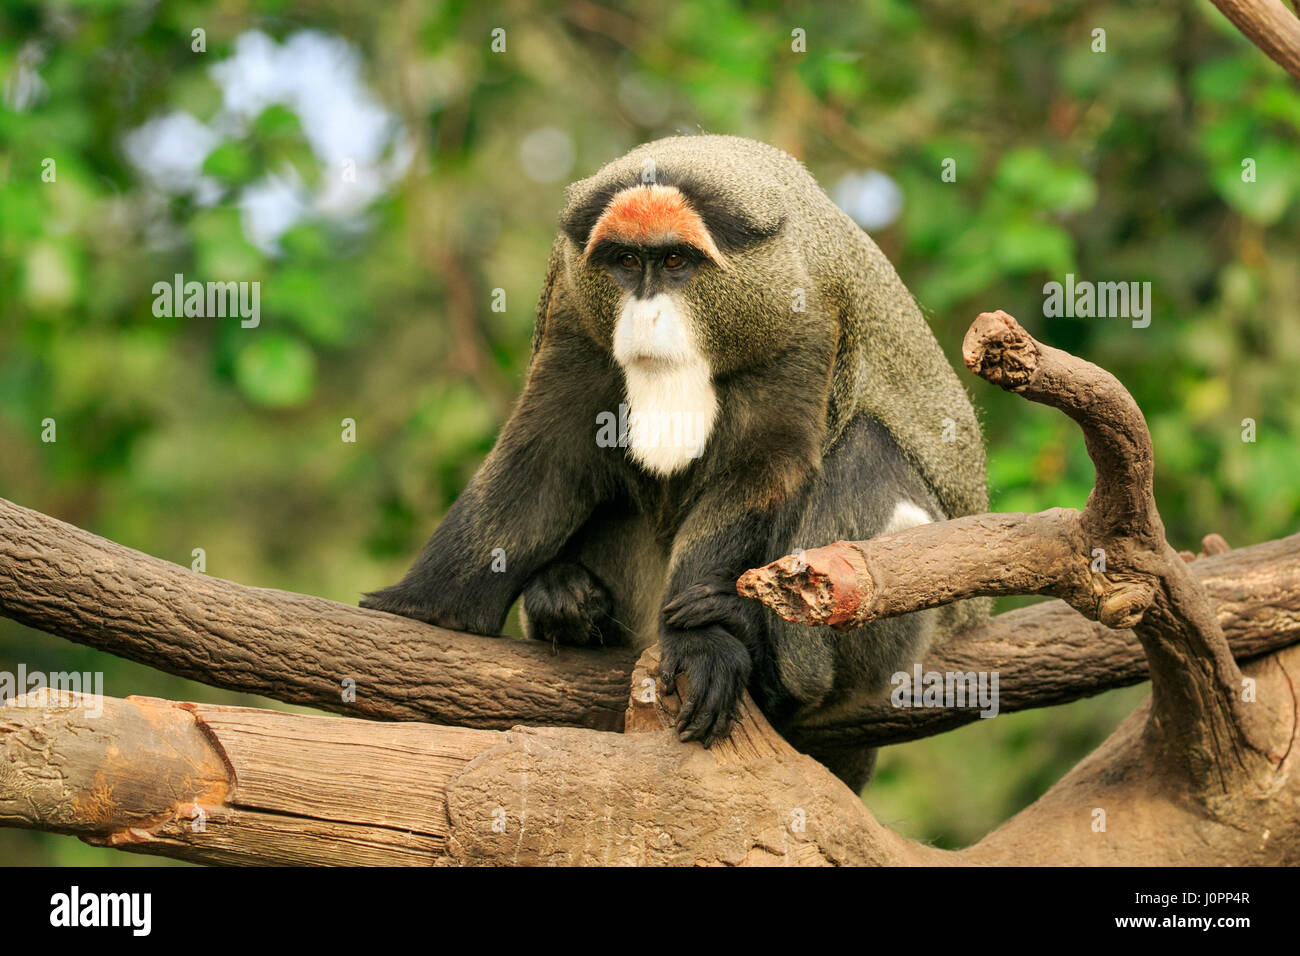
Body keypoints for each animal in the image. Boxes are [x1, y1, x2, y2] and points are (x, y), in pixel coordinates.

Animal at [361, 135, 988, 791]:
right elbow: (545, 454)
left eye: (674, 263)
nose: (647, 315)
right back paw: (564, 604)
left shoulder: (805, 313)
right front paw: (422, 608)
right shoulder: (573, 308)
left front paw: (705, 640)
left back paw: (774, 667)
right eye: (626, 262)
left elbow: (763, 464)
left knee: (868, 447)